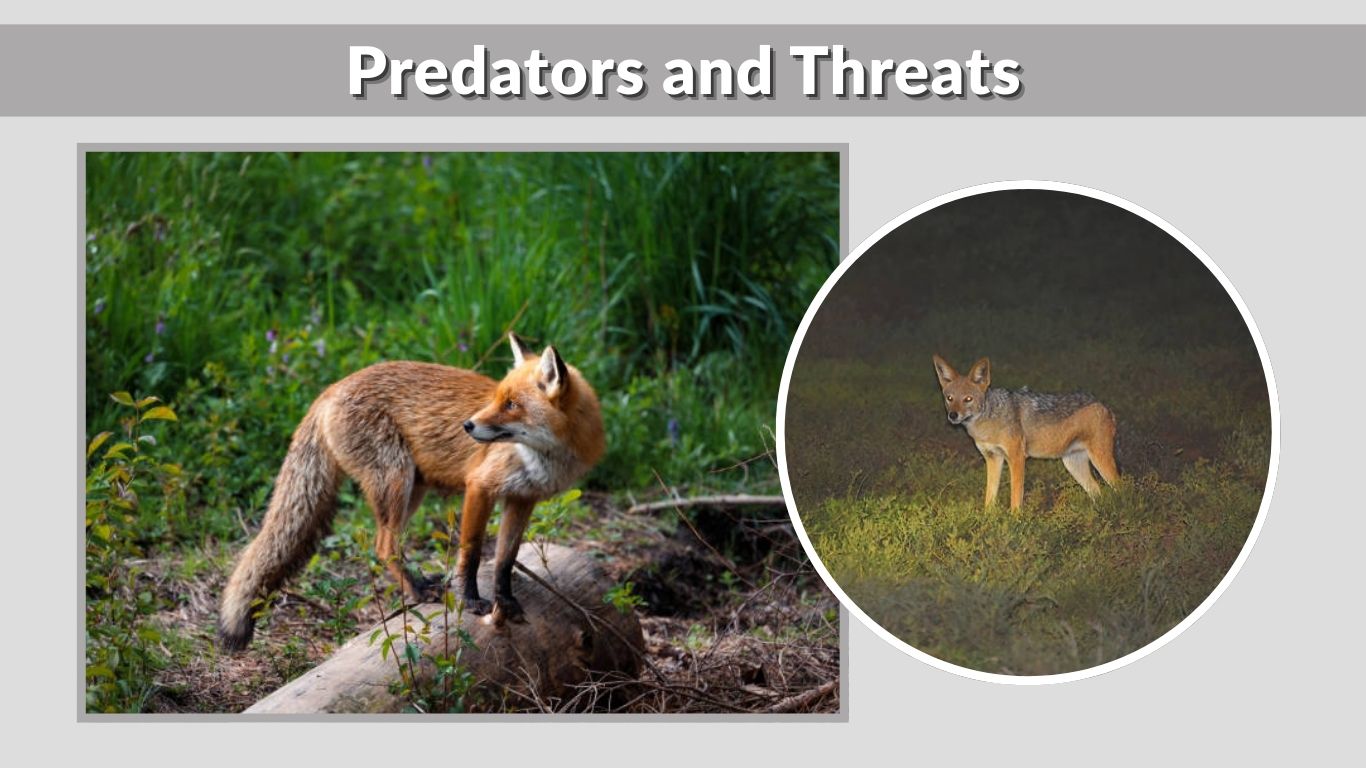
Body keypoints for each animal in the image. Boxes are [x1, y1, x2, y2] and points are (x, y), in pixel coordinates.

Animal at [217, 333, 605, 650]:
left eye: (512, 405)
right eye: (498, 398)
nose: (468, 425)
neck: (546, 458)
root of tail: (331, 388)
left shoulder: (523, 498)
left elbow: (505, 560)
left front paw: (505, 603)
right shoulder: (480, 486)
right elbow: (471, 552)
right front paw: (470, 600)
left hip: (412, 490)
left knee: (390, 544)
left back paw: (419, 583)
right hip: (395, 482)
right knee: (383, 545)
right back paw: (419, 591)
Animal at [931, 354, 1118, 510]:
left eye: (968, 399)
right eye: (949, 398)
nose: (953, 415)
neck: (987, 422)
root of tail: (1104, 406)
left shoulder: (1017, 458)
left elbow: (1015, 497)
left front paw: (1015, 521)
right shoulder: (993, 458)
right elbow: (989, 497)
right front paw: (988, 520)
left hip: (1100, 462)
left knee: (1120, 487)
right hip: (1073, 465)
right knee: (1097, 491)